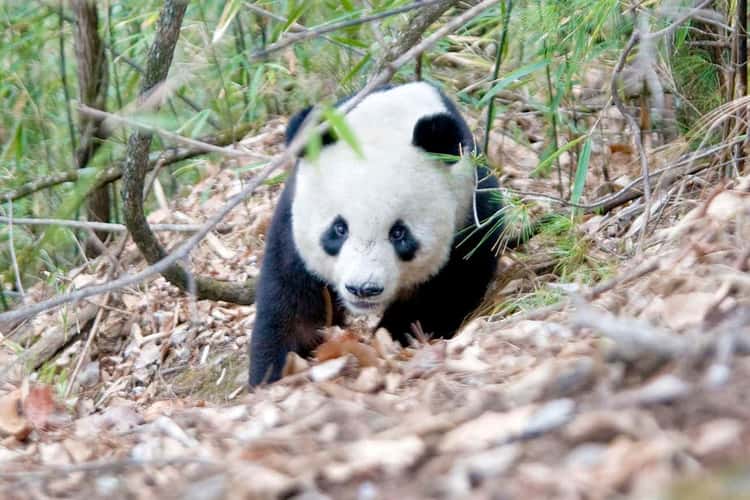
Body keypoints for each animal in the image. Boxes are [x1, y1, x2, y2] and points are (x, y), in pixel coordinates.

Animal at [249, 82, 503, 386]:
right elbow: (292, 304)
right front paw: (271, 373)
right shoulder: (292, 223)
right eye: (339, 229)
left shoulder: (469, 212)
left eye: (399, 233)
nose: (363, 289)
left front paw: (396, 336)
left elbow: (447, 289)